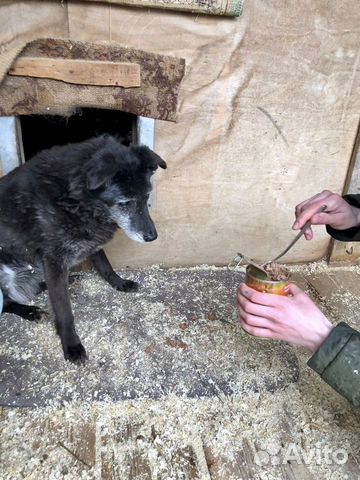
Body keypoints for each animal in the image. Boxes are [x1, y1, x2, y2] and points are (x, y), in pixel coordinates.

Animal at [0, 133, 166, 362]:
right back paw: (30, 311)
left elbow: (105, 266)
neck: (76, 200)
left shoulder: (90, 241)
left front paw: (120, 283)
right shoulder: (53, 259)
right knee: (7, 302)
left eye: (146, 197)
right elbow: (63, 308)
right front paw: (71, 344)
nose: (152, 237)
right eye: (124, 203)